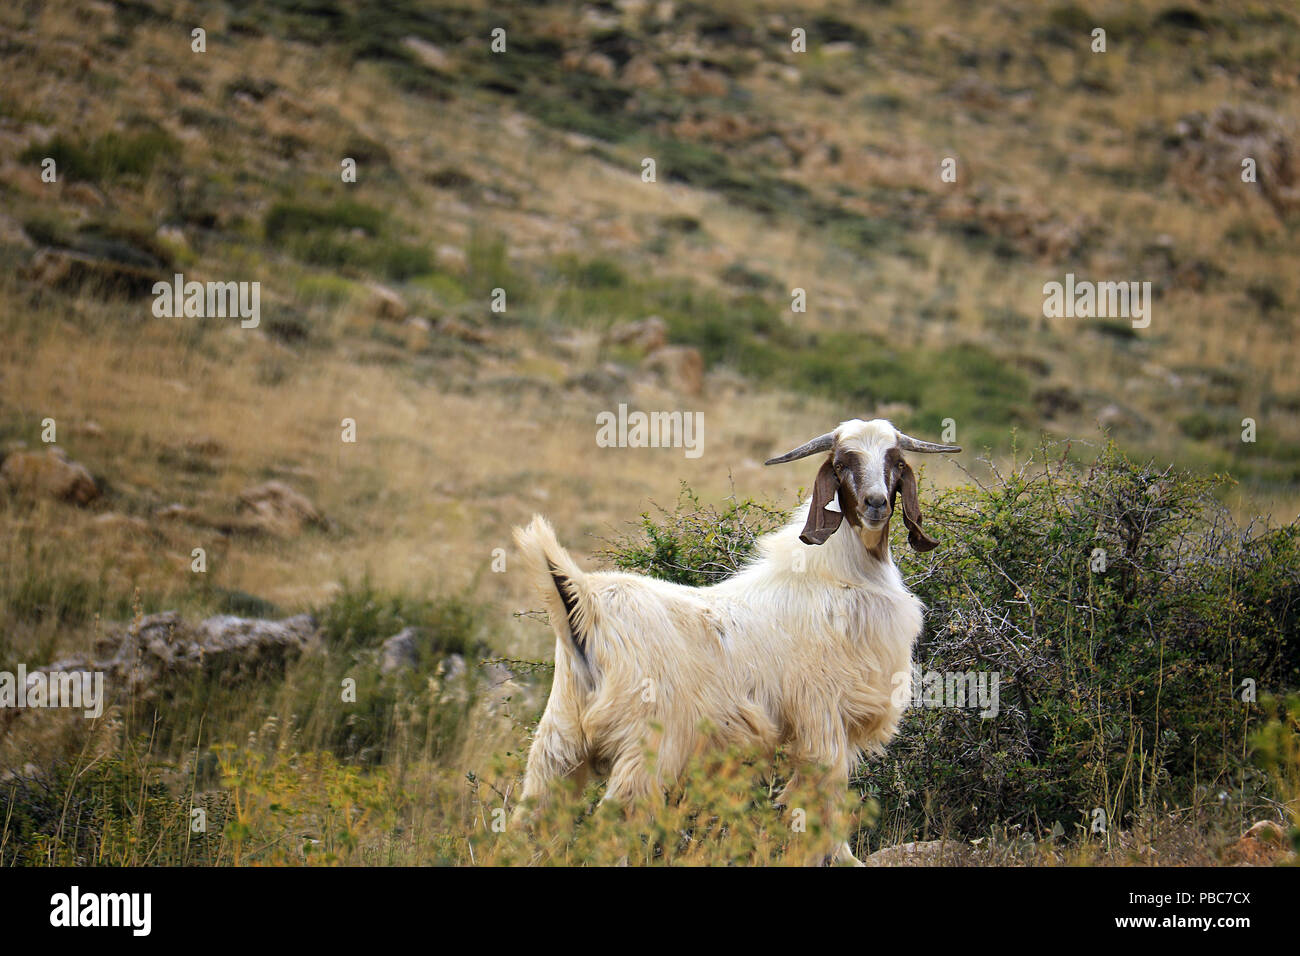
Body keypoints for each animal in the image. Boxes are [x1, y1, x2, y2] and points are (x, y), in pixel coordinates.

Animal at [512, 418, 959, 864]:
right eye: (841, 463)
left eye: (896, 461)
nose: (875, 503)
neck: (838, 575)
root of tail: (585, 603)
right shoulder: (823, 718)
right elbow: (825, 797)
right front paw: (839, 856)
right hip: (647, 744)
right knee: (612, 821)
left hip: (559, 743)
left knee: (532, 819)